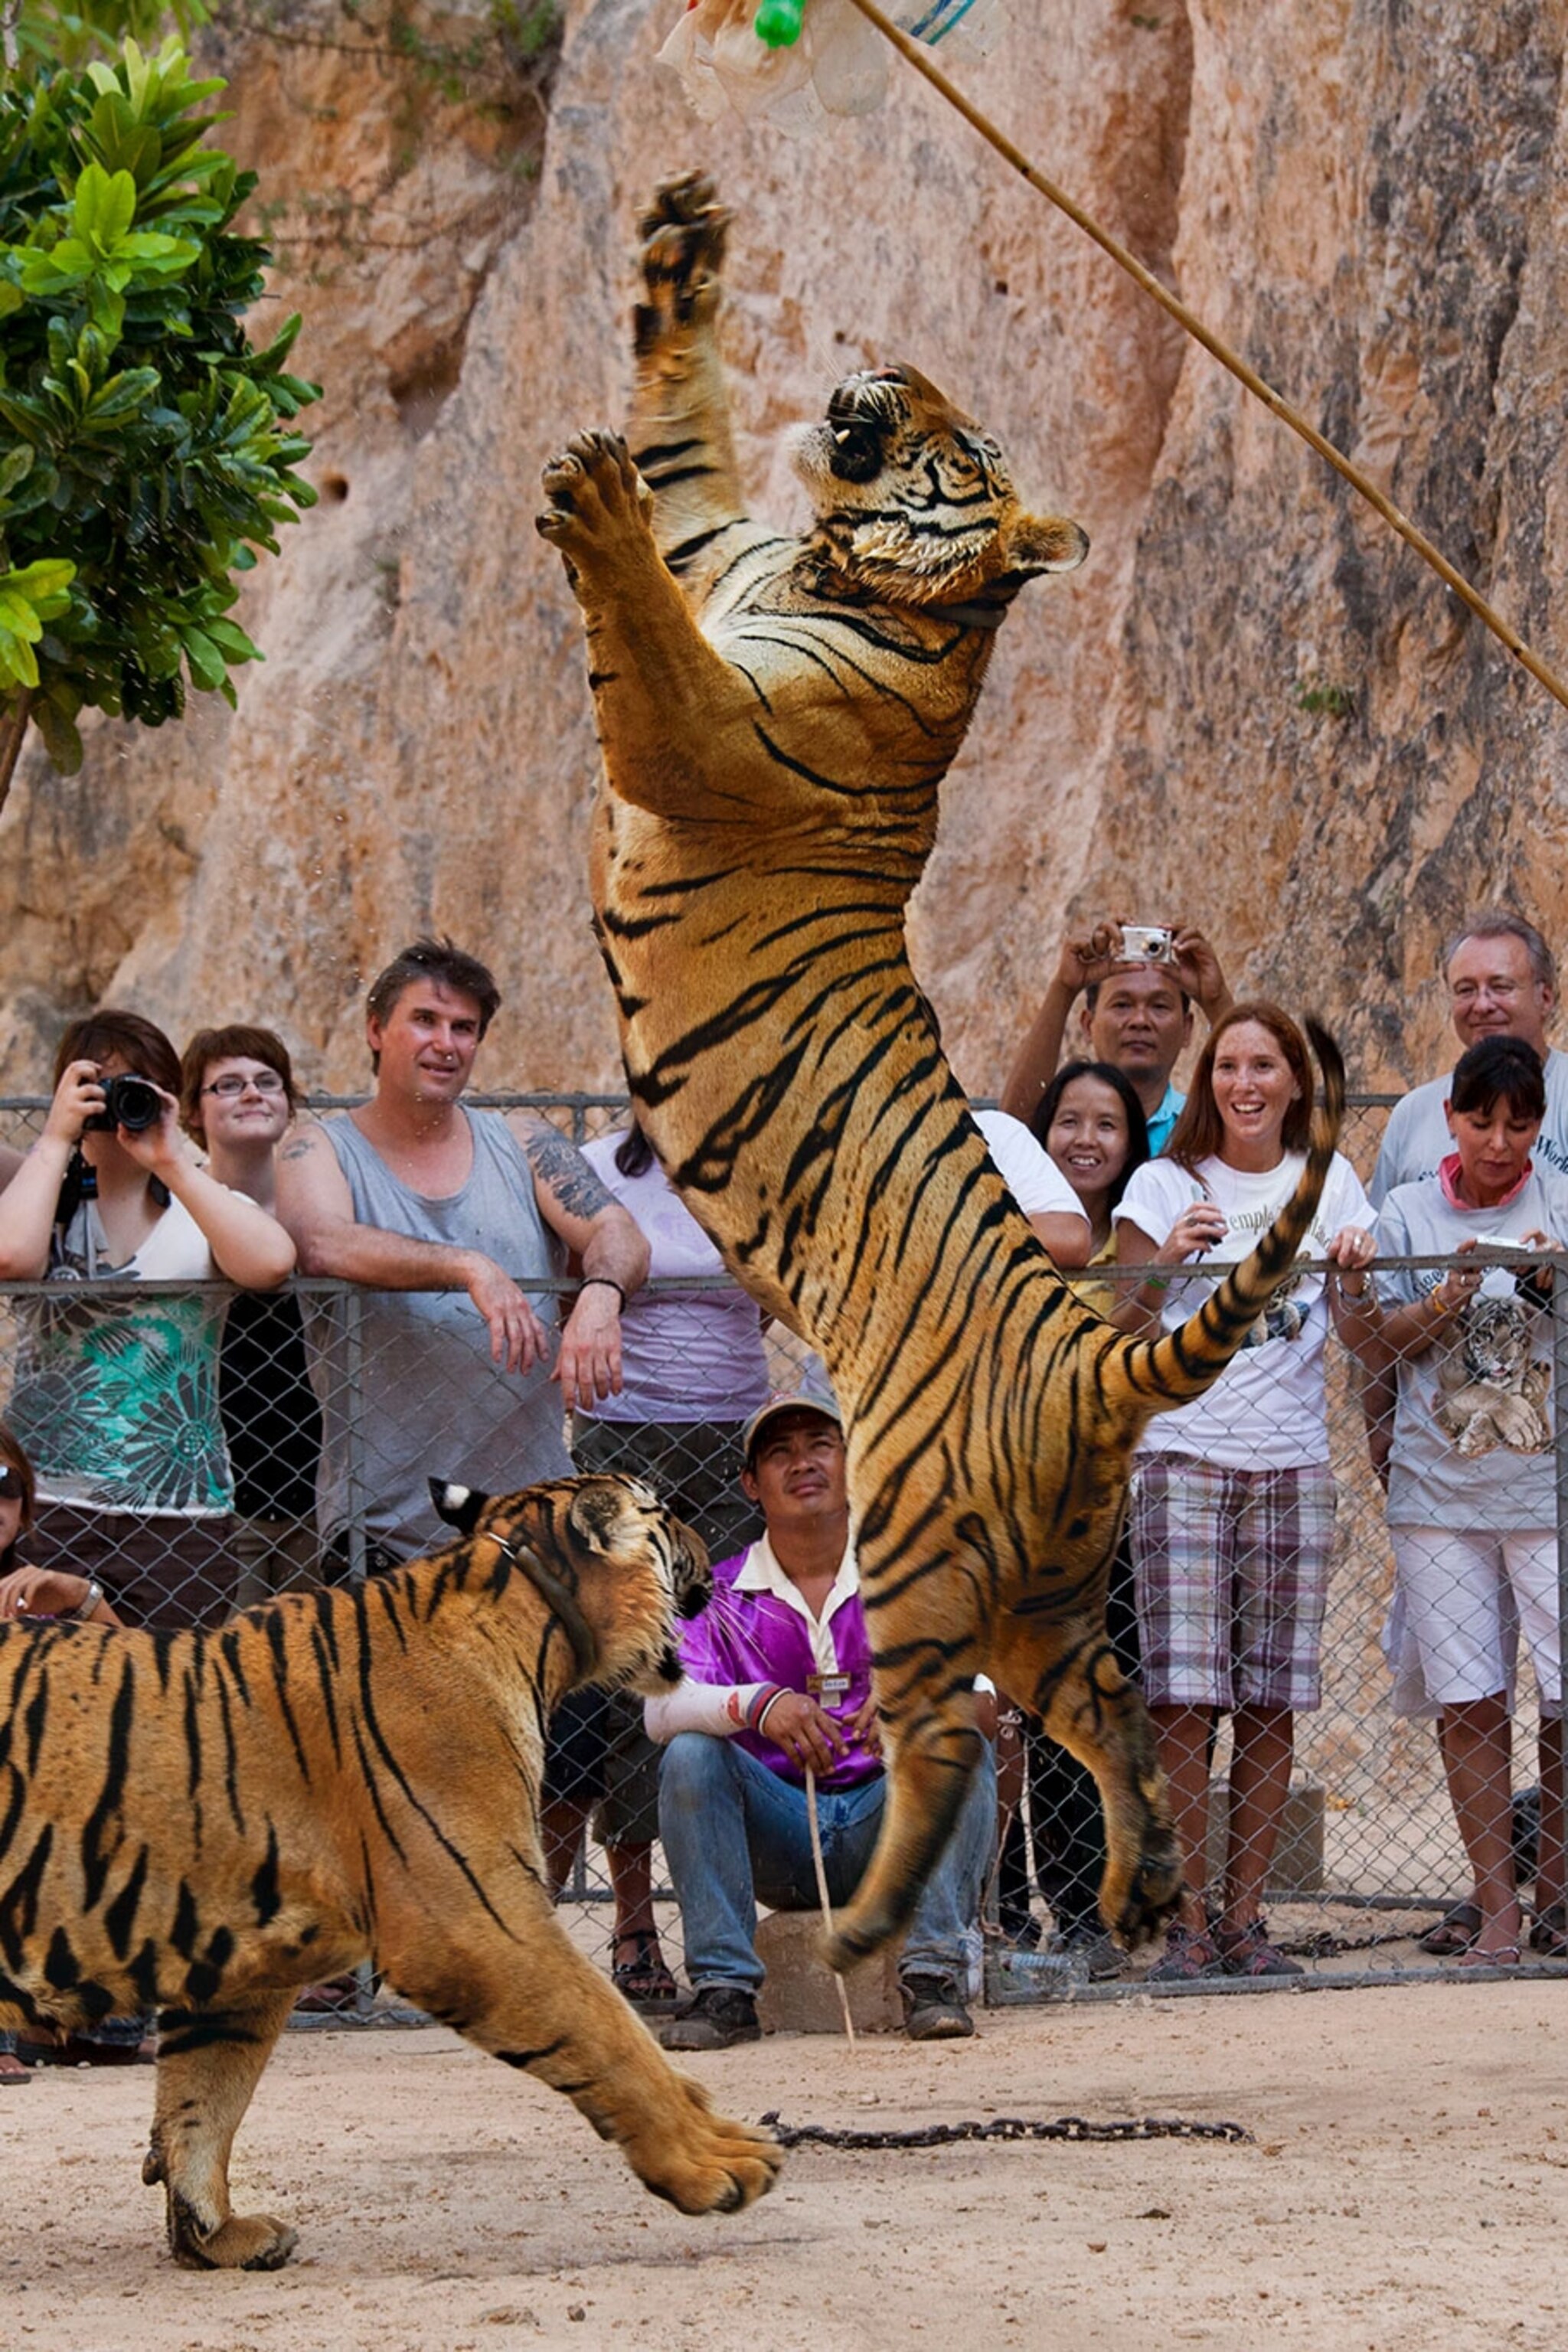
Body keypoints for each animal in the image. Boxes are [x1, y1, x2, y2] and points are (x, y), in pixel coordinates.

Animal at [0, 1474, 780, 2270]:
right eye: (666, 1516)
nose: (714, 1555)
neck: (530, 1623)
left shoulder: (238, 1967)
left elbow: (205, 2100)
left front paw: (213, 2236)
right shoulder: (478, 1919)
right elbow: (611, 2034)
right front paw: (719, 2162)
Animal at [536, 173, 1344, 1976]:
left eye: (960, 442)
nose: (891, 374)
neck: (845, 564)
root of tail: (1091, 1356)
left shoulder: (705, 727)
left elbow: (651, 642)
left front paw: (588, 502)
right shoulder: (722, 544)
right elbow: (686, 429)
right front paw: (679, 251)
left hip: (909, 1560)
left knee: (933, 1742)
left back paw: (868, 1934)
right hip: (1050, 1591)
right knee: (1108, 1706)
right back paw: (1142, 1892)